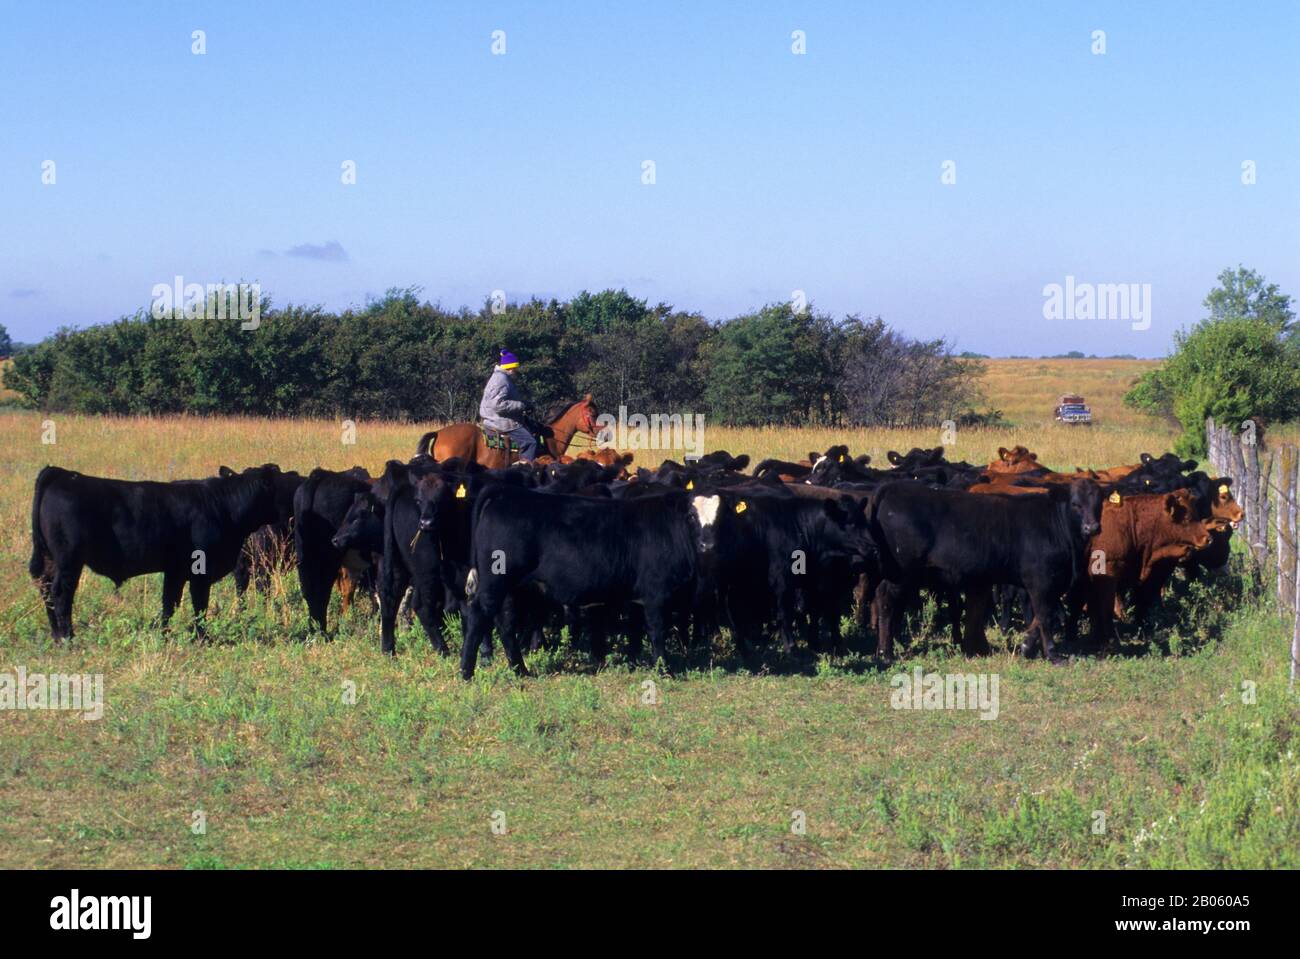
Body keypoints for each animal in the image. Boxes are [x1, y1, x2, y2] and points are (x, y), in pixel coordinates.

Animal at [29, 464, 282, 640]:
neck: (223, 505)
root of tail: (62, 474)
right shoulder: (200, 570)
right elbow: (199, 605)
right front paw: (203, 638)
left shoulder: (174, 571)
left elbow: (169, 604)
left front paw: (165, 635)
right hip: (69, 560)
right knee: (61, 593)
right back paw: (67, 638)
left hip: (51, 559)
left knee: (45, 589)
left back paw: (56, 635)